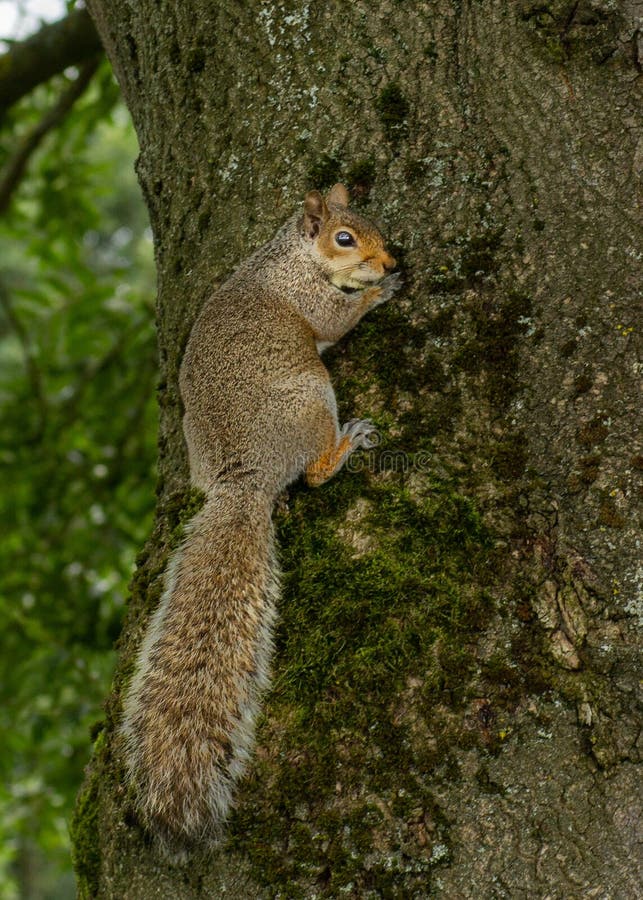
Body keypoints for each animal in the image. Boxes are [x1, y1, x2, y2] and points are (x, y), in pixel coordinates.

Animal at [119, 183, 401, 858]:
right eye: (344, 238)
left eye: (372, 221)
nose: (388, 260)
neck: (286, 257)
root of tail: (242, 484)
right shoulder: (310, 302)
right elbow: (335, 321)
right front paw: (378, 294)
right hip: (312, 395)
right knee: (316, 471)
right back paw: (344, 446)